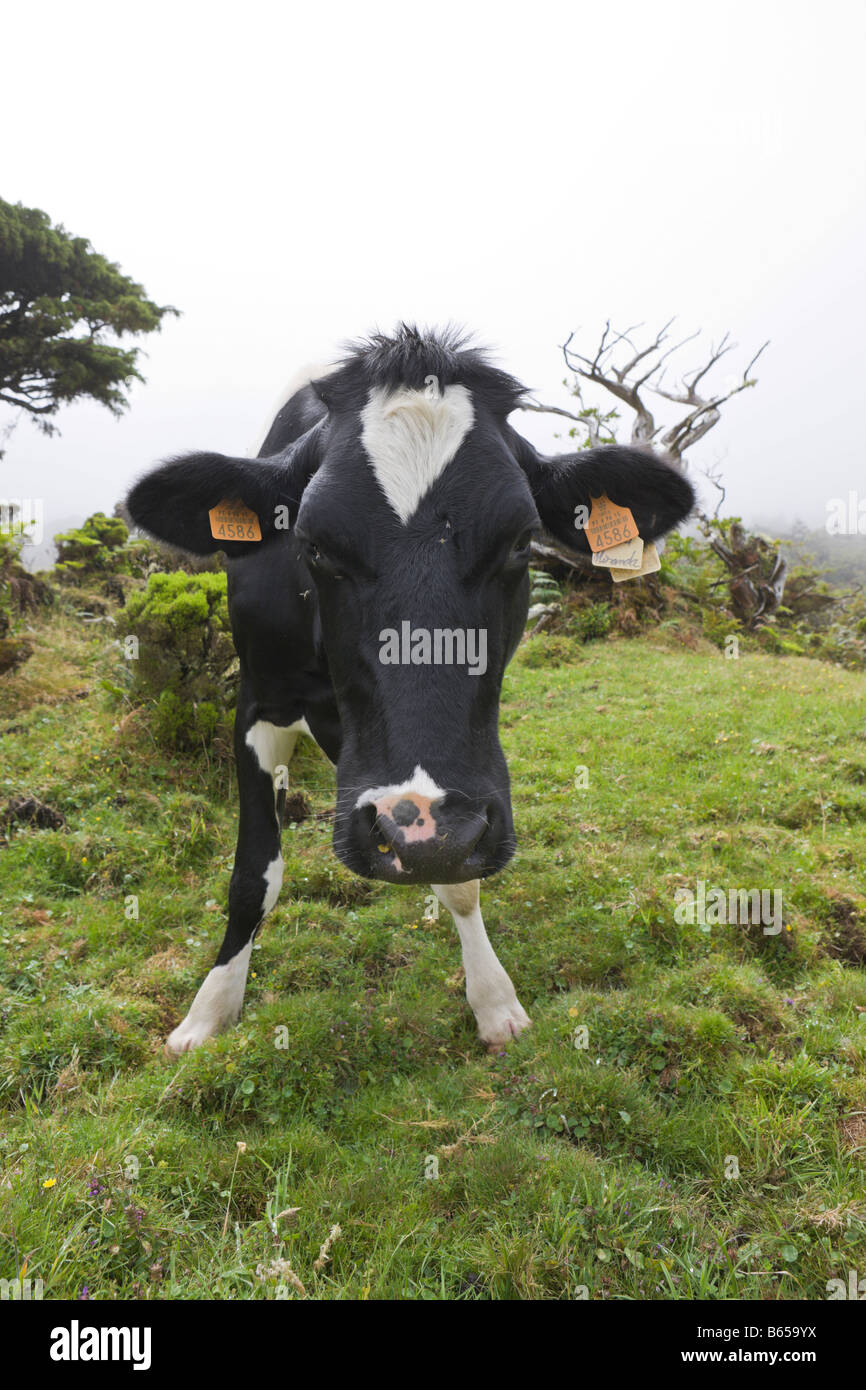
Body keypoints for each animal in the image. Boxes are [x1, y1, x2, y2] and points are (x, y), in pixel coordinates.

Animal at [126, 325, 694, 1056]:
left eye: (521, 542)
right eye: (313, 545)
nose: (419, 825)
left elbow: (463, 885)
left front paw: (493, 1000)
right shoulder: (256, 702)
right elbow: (254, 874)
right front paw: (208, 1011)